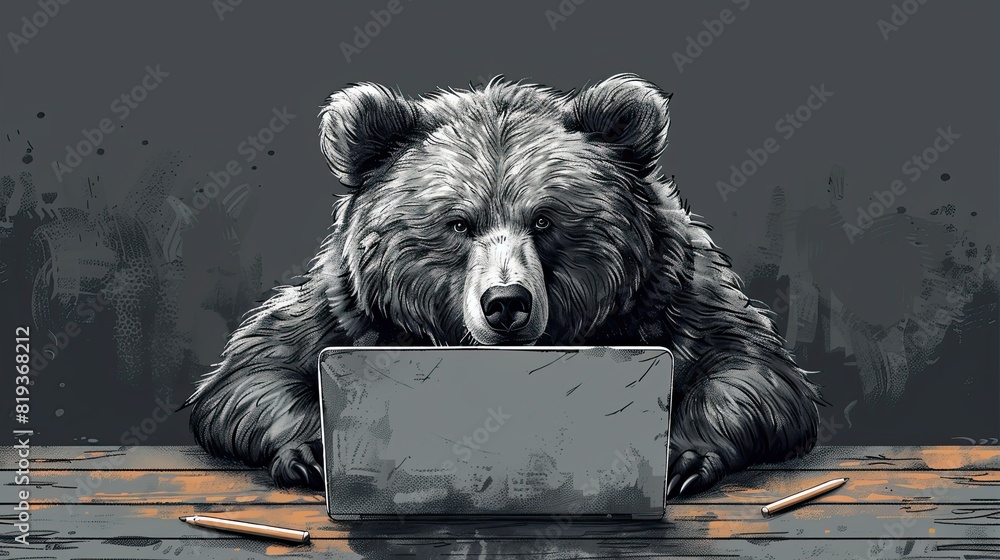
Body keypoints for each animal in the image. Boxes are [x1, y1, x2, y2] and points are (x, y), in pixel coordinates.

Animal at [186, 74, 823, 497]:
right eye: (458, 223)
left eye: (544, 219)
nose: (506, 303)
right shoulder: (348, 313)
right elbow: (251, 372)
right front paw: (312, 453)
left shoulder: (668, 297)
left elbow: (749, 368)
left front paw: (681, 455)